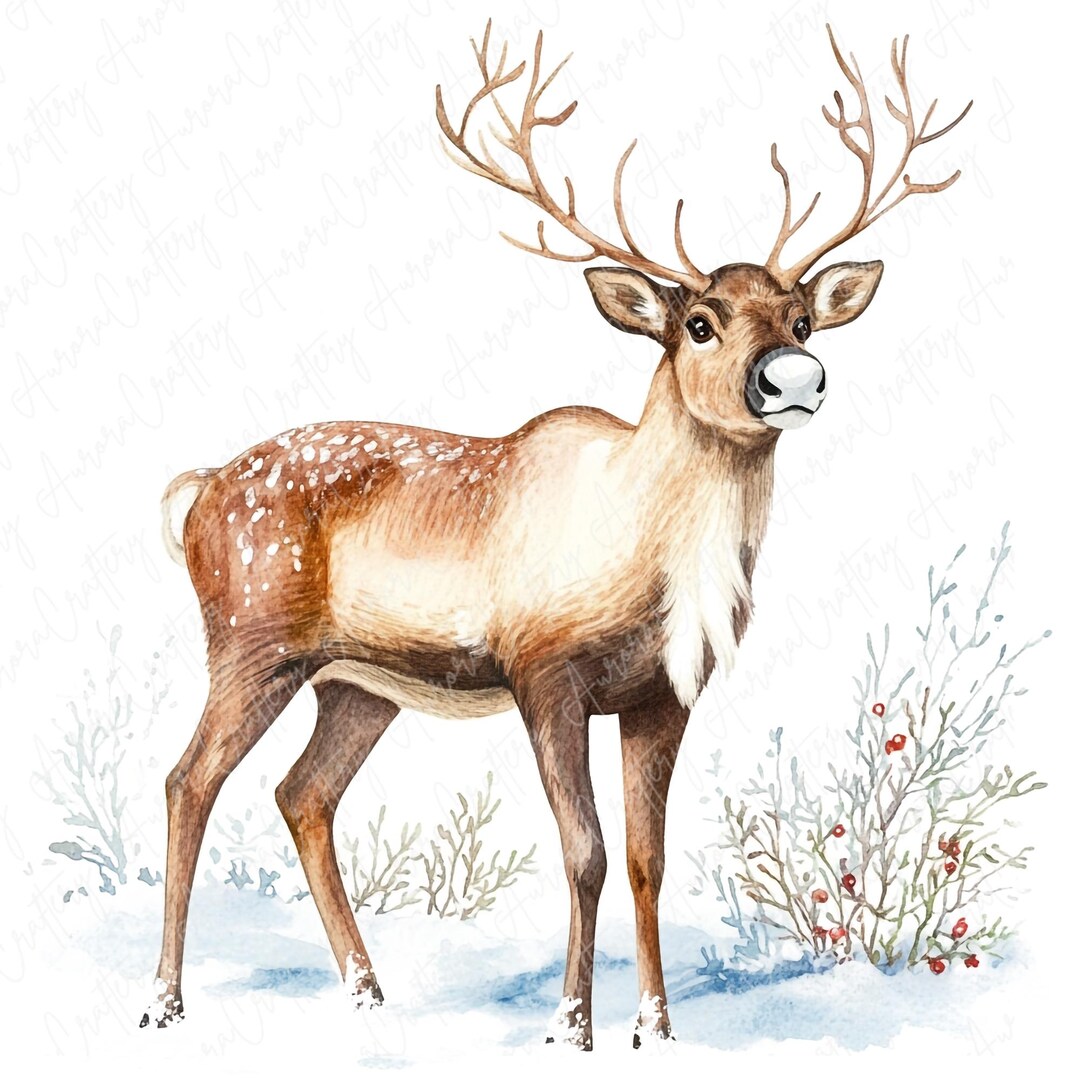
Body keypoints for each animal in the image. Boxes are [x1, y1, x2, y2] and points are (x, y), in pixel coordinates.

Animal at [143, 22, 970, 1049]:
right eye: (700, 323)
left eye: (806, 317)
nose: (794, 376)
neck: (653, 566)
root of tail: (197, 491)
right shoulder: (545, 671)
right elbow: (586, 853)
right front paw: (571, 1026)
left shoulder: (664, 693)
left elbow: (650, 859)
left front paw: (656, 1028)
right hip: (252, 637)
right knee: (188, 780)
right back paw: (166, 1001)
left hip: (357, 683)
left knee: (302, 795)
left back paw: (369, 993)